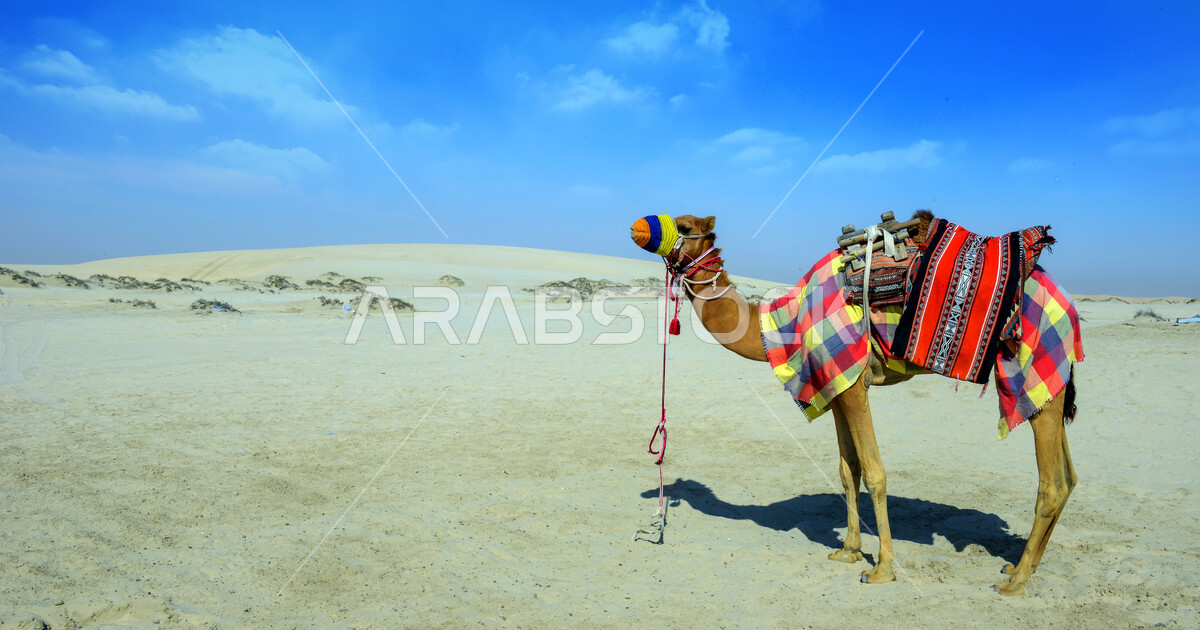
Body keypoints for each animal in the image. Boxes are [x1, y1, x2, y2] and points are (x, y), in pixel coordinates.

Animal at [645, 213, 1078, 596]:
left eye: (684, 226)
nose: (638, 227)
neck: (782, 326)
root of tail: (1067, 303)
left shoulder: (853, 382)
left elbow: (874, 473)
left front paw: (882, 569)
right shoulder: (834, 384)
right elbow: (846, 470)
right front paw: (849, 550)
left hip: (1029, 369)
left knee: (1052, 483)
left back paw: (1015, 581)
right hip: (1052, 386)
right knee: (1069, 477)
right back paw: (1023, 565)